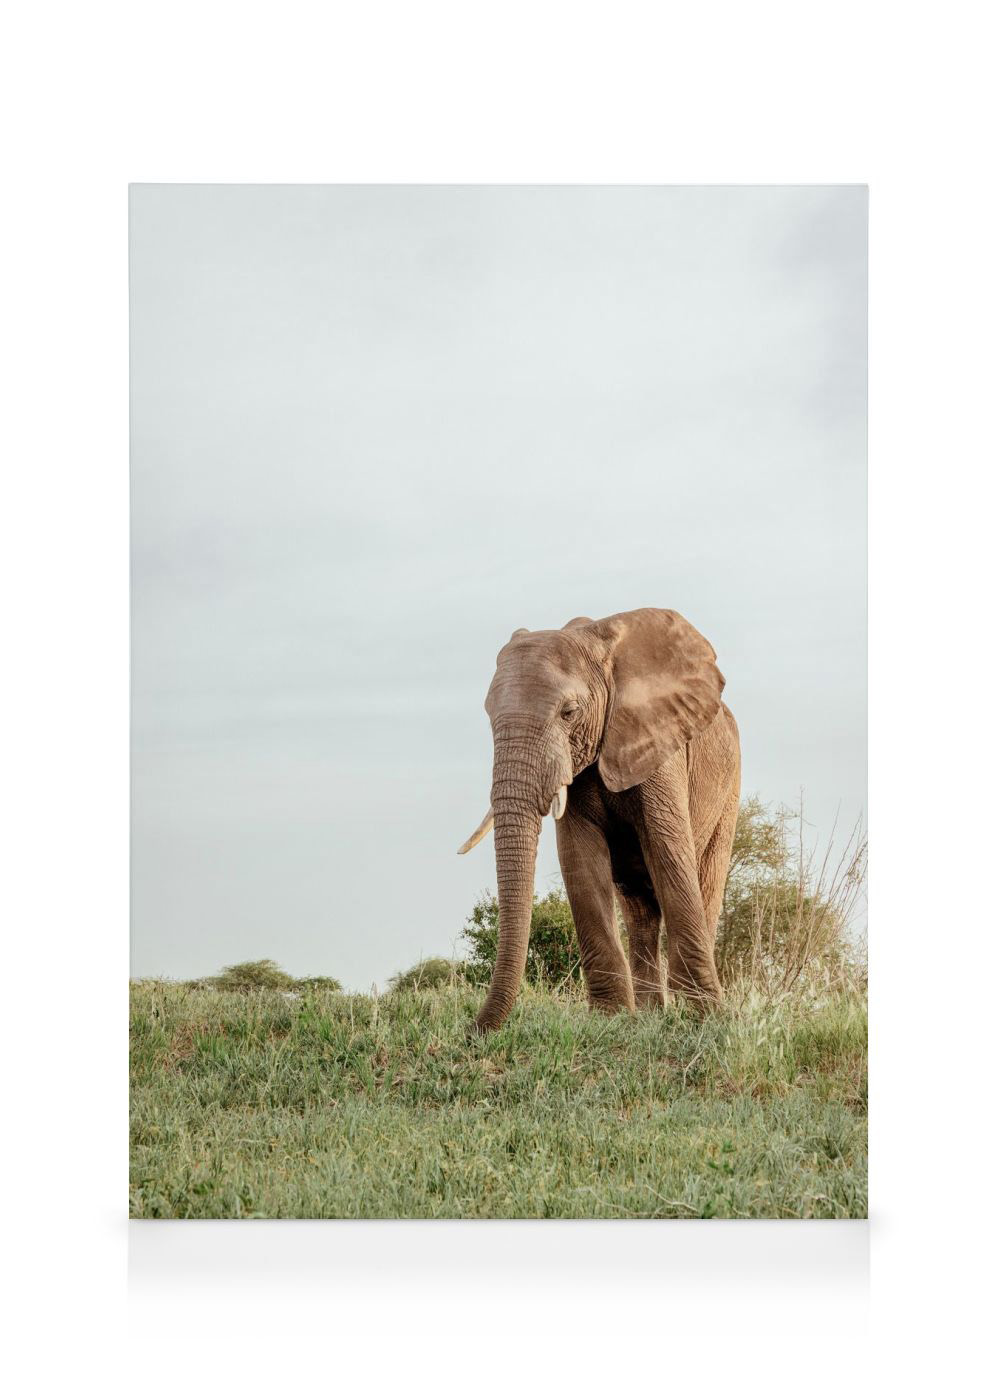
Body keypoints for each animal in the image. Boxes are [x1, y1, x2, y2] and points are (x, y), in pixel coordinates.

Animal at [458, 608, 740, 1033]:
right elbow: (579, 859)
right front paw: (611, 1017)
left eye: (569, 713)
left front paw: (706, 1019)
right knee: (639, 910)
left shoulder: (659, 741)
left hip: (729, 790)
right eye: (490, 715)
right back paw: (650, 1014)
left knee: (706, 885)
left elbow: (668, 849)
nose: (474, 1031)